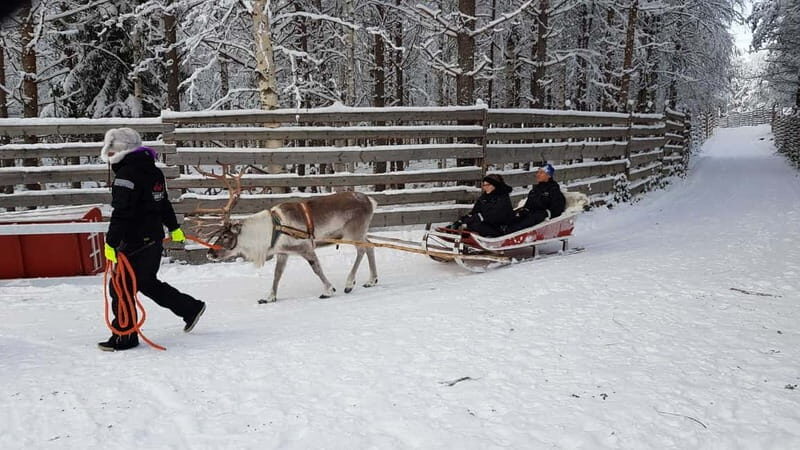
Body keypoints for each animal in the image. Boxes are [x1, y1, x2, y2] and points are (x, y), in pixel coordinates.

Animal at [189, 165, 379, 304]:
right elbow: (277, 274)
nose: (210, 253)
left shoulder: (305, 247)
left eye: (226, 236)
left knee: (362, 250)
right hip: (360, 232)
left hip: (352, 232)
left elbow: (316, 268)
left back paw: (349, 283)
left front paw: (328, 290)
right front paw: (269, 297)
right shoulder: (282, 252)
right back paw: (371, 280)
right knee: (370, 246)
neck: (268, 232)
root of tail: (371, 201)